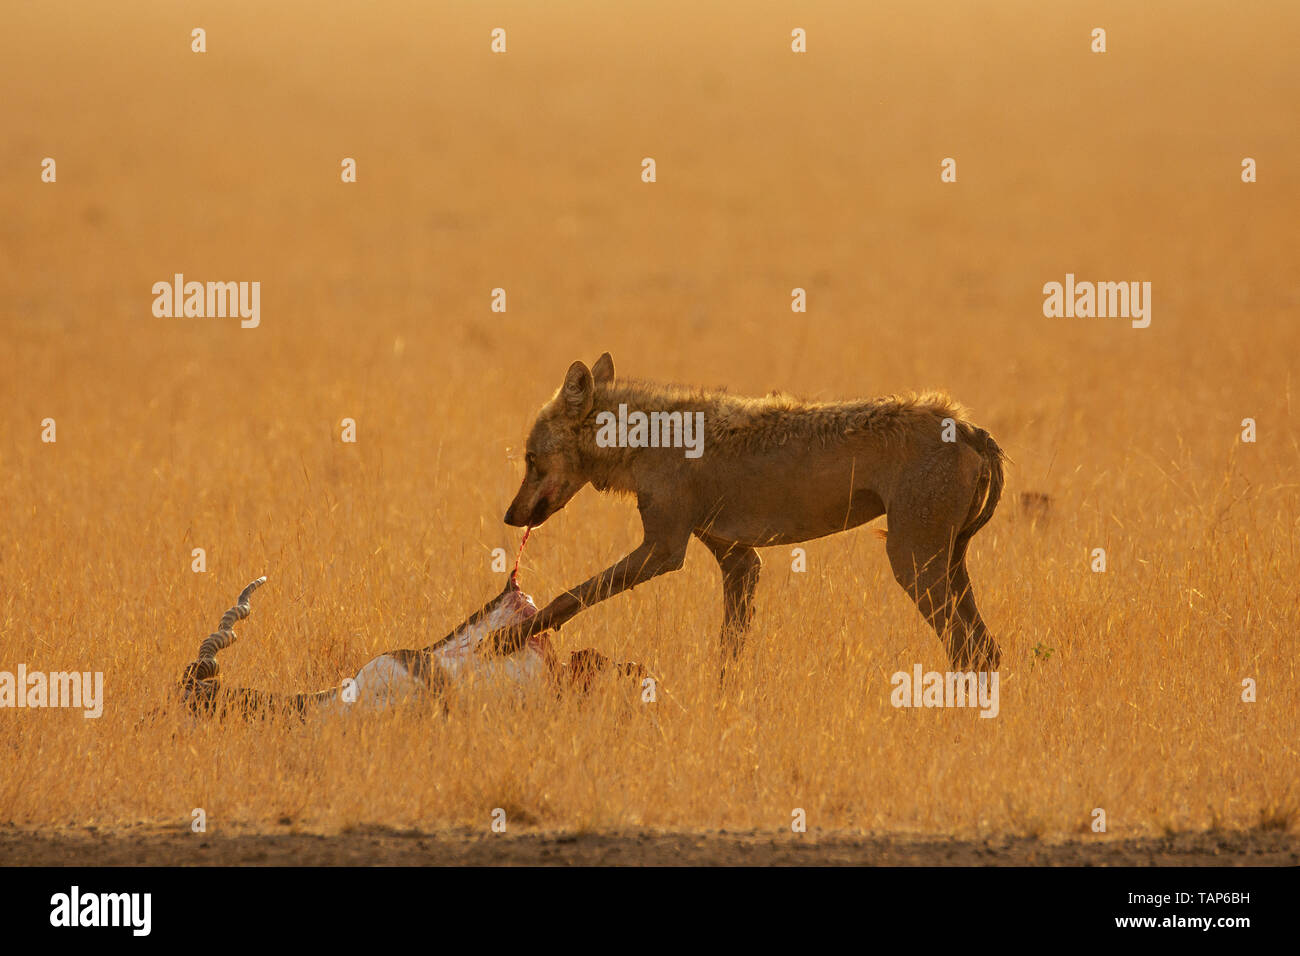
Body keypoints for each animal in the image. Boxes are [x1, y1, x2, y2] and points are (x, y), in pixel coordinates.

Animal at [494, 353, 1005, 672]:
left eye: (531, 460)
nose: (510, 517)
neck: (643, 440)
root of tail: (966, 425)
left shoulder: (662, 550)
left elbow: (571, 597)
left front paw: (501, 641)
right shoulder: (739, 559)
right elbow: (730, 653)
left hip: (911, 564)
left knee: (966, 649)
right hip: (946, 565)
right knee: (987, 650)